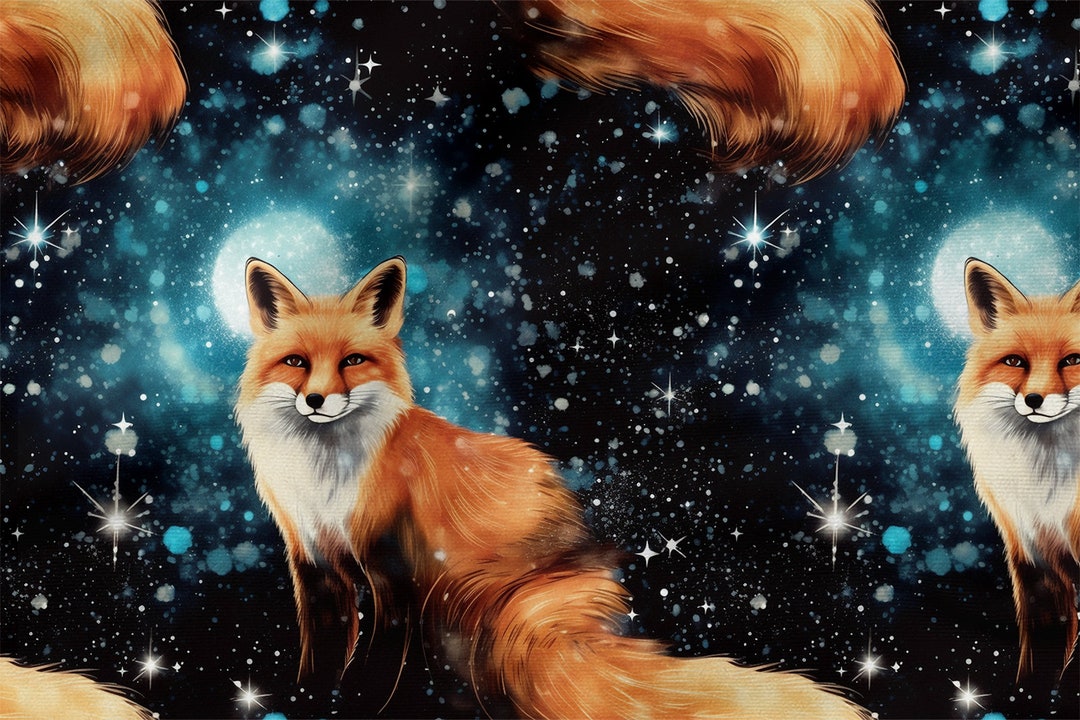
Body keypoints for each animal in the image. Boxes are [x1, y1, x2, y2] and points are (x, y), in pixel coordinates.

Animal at [235, 256, 869, 719]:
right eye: (296, 362)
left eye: (352, 361)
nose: (317, 400)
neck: (325, 479)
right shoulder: (312, 561)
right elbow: (318, 653)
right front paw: (306, 700)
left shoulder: (390, 569)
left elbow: (375, 663)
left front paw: (356, 704)